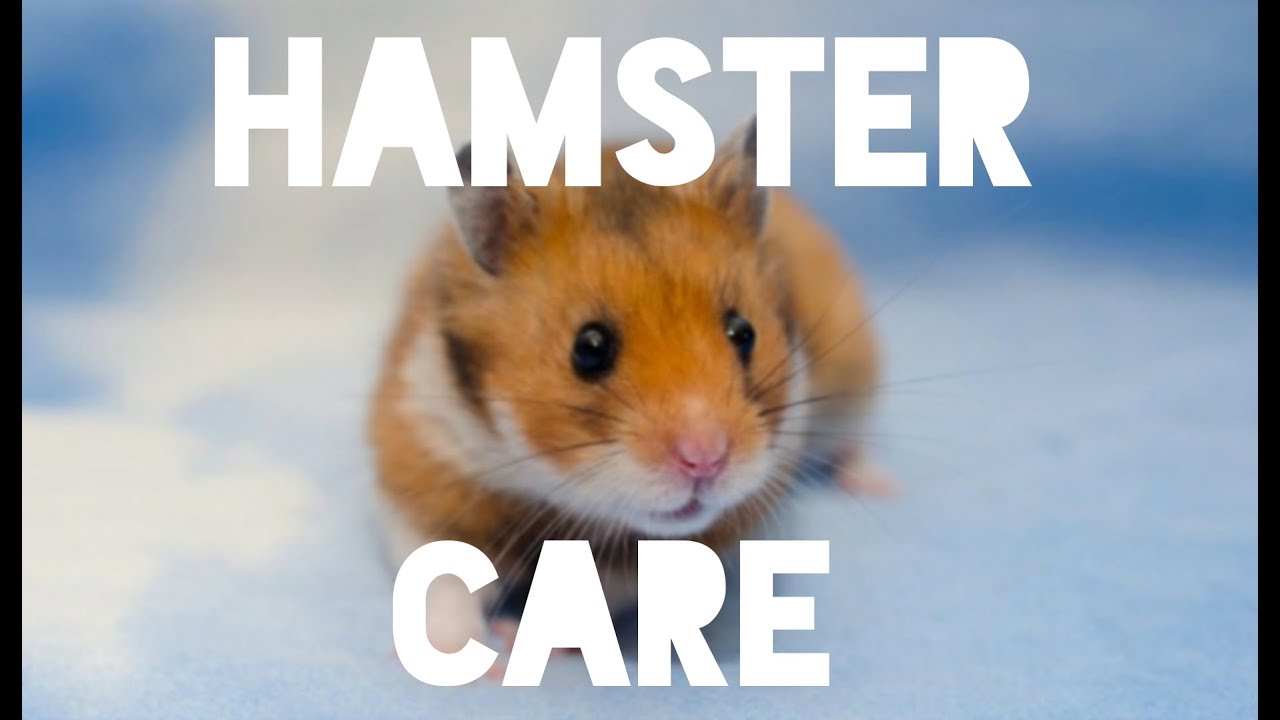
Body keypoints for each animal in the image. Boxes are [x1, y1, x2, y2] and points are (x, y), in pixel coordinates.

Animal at [370, 118, 881, 654]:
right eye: (589, 348)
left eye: (744, 333)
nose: (706, 459)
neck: (554, 490)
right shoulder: (424, 467)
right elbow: (443, 586)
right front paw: (479, 660)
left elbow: (590, 603)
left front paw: (516, 639)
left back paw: (878, 486)